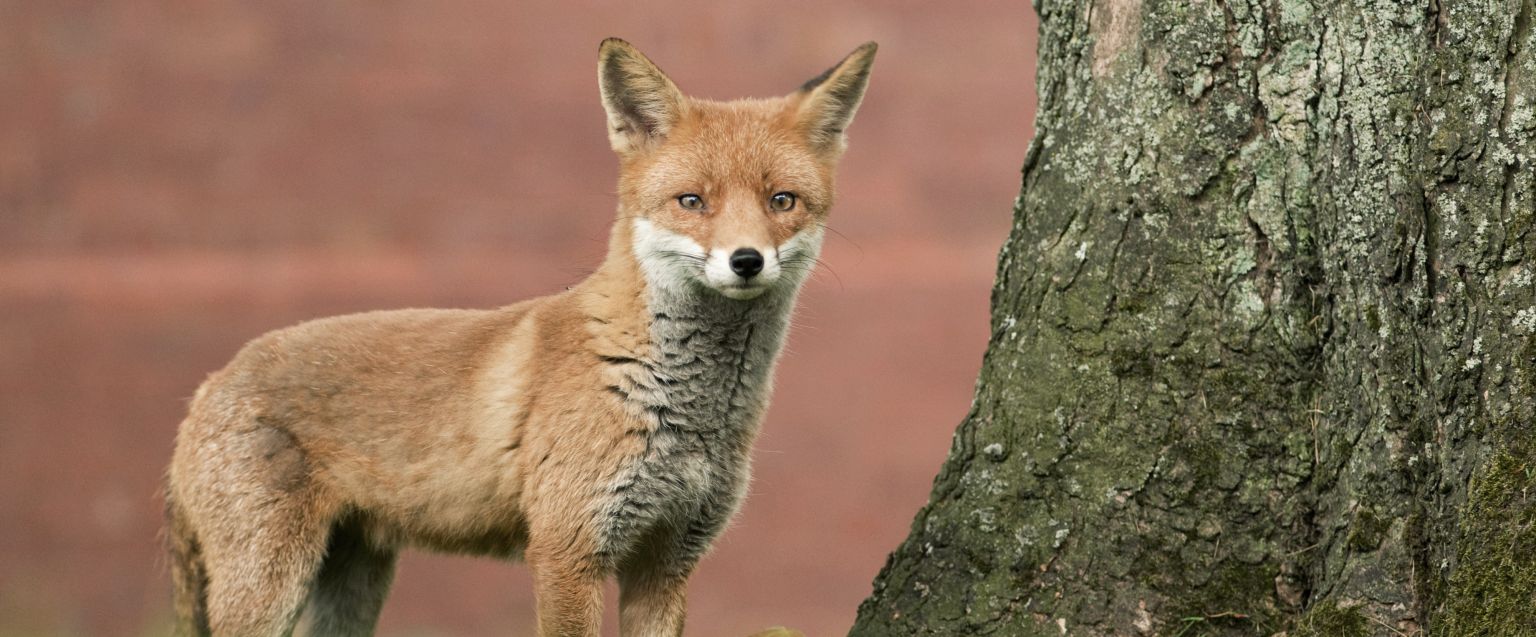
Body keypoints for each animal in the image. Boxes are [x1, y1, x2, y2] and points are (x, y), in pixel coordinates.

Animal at [163, 38, 876, 637]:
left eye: (781, 201)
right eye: (692, 202)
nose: (746, 261)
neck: (684, 407)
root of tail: (209, 383)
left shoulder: (668, 560)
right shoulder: (568, 549)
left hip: (353, 584)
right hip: (270, 587)